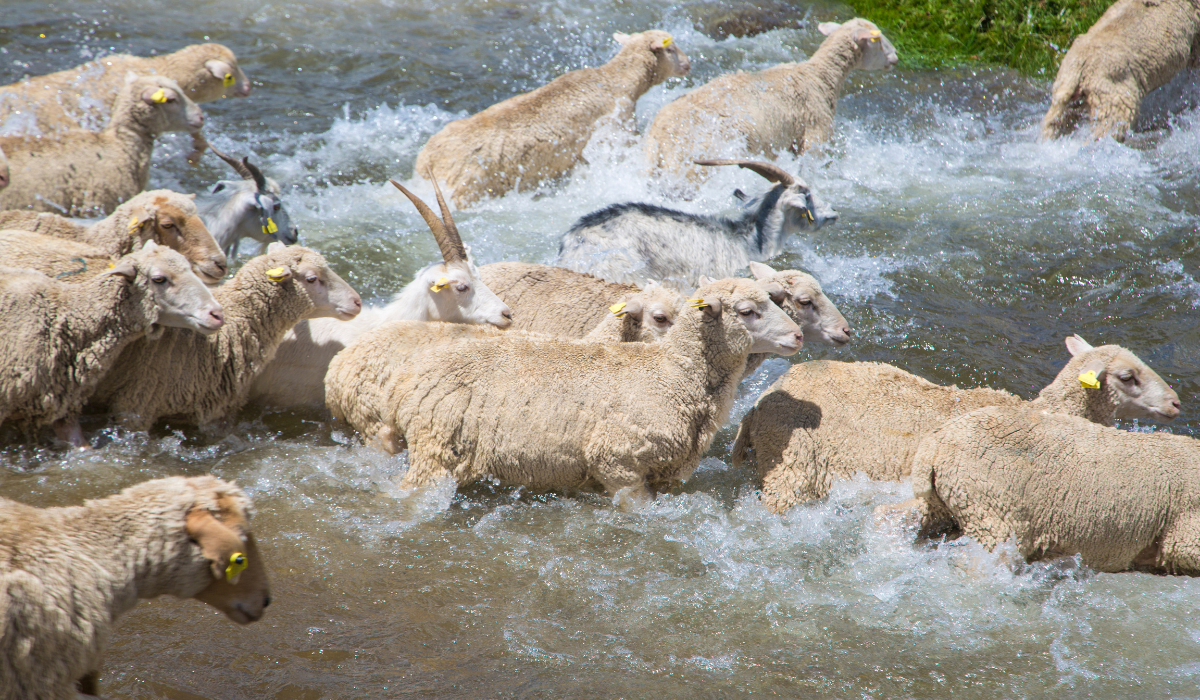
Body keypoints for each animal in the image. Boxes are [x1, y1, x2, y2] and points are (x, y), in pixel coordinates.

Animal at [414, 30, 691, 207]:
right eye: (671, 48)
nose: (688, 63)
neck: (616, 80)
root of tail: (426, 159)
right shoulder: (618, 122)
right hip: (468, 187)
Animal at [643, 19, 897, 179]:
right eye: (877, 39)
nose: (896, 56)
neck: (820, 77)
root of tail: (658, 136)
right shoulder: (815, 134)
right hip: (695, 165)